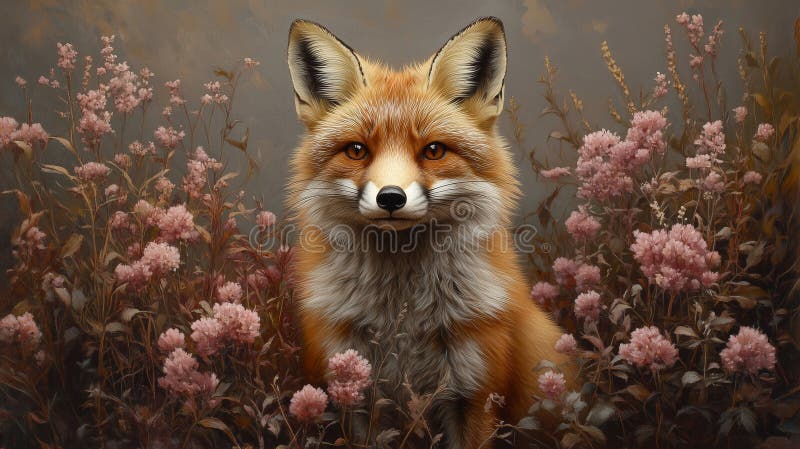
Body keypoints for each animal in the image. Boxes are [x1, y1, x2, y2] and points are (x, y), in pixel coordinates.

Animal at [285, 17, 577, 448]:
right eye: (357, 150)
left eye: (434, 150)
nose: (391, 197)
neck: (401, 324)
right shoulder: (351, 393)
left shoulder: (476, 394)